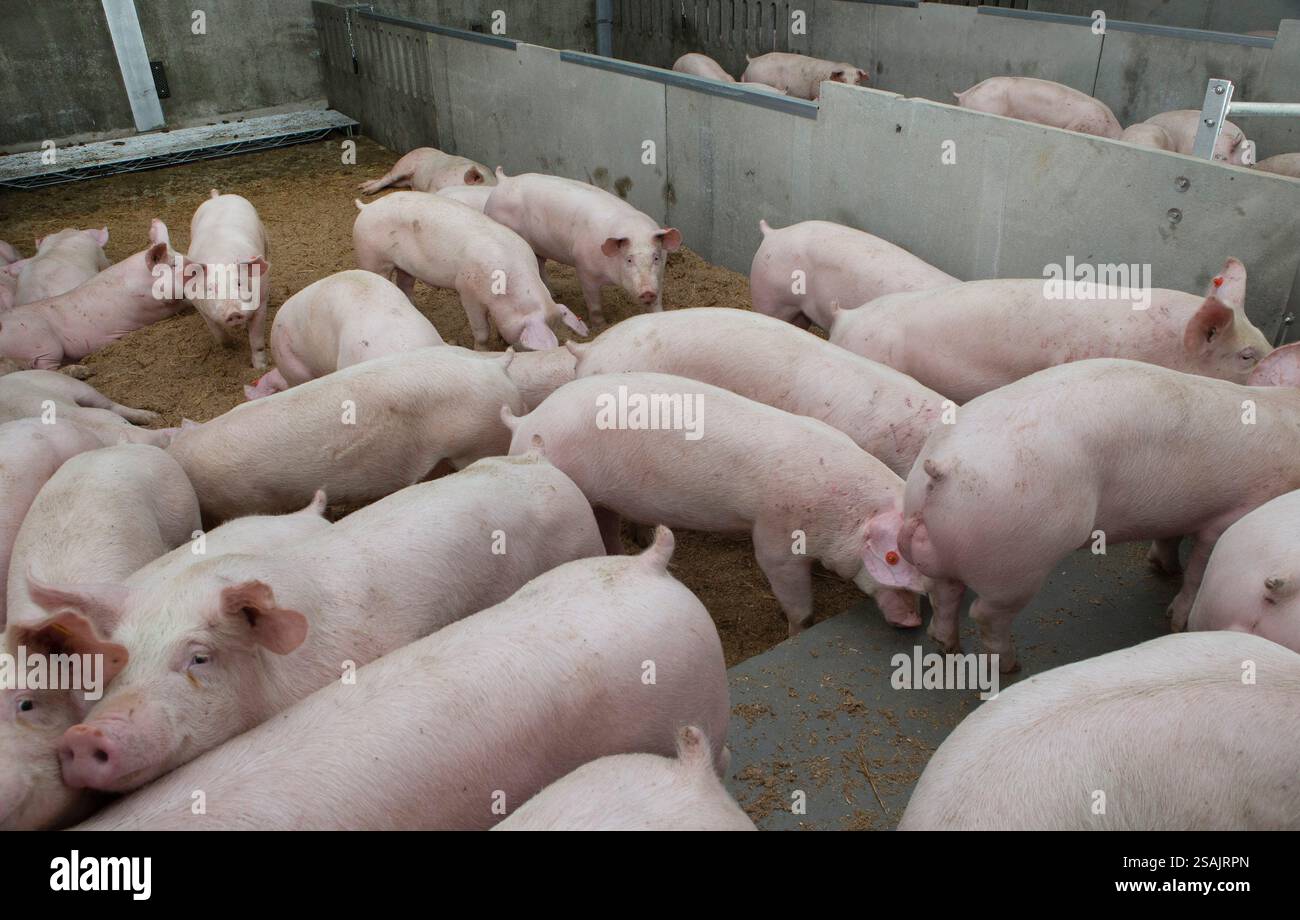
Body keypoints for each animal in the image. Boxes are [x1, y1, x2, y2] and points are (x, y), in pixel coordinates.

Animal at [183, 191, 270, 369]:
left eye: (239, 283)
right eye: (210, 288)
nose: (233, 312)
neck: (221, 257)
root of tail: (217, 197)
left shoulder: (262, 299)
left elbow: (257, 340)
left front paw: (260, 368)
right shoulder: (200, 308)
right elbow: (218, 332)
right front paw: (231, 346)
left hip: (265, 236)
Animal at [353, 192, 587, 350]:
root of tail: (367, 206)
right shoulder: (467, 291)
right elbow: (481, 330)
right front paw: (483, 348)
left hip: (405, 267)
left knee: (405, 284)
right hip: (372, 257)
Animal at [357, 146, 495, 195]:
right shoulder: (435, 186)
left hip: (402, 182)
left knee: (387, 181)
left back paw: (362, 186)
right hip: (403, 166)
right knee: (387, 177)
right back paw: (365, 191)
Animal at [483, 169, 682, 327]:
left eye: (655, 257)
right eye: (629, 259)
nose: (647, 292)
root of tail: (504, 180)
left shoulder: (659, 275)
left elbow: (657, 302)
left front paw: (660, 314)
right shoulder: (584, 269)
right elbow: (594, 304)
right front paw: (600, 326)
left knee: (540, 264)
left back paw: (555, 294)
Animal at [504, 372, 933, 633]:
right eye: (894, 559)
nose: (913, 622)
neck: (843, 511)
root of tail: (526, 421)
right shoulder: (775, 533)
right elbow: (792, 594)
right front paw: (796, 630)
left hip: (603, 499)